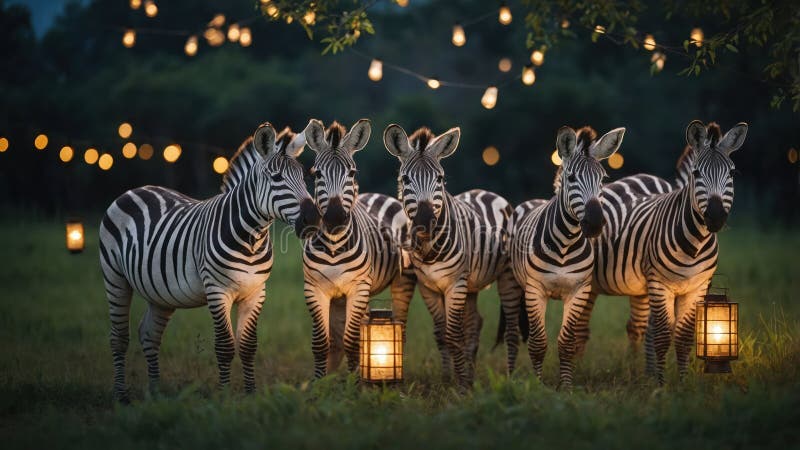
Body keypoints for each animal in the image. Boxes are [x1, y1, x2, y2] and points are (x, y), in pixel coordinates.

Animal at [99, 123, 321, 401]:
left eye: (304, 178)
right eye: (277, 178)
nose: (314, 219)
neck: (252, 238)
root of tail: (136, 189)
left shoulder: (256, 292)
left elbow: (248, 345)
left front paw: (251, 394)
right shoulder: (217, 291)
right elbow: (225, 346)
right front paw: (224, 397)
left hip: (160, 293)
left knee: (149, 335)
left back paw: (156, 393)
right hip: (114, 277)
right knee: (118, 337)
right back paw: (121, 395)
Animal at [301, 119, 416, 378]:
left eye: (351, 173)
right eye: (317, 174)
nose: (335, 218)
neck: (334, 245)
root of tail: (376, 195)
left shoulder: (358, 288)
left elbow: (352, 340)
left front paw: (354, 383)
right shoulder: (314, 289)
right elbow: (321, 342)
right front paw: (320, 382)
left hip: (401, 282)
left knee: (401, 327)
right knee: (335, 340)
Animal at [383, 124, 517, 388]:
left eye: (440, 179)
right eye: (405, 179)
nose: (425, 222)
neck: (429, 250)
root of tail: (485, 191)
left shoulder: (455, 283)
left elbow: (454, 334)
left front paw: (462, 386)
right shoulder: (429, 287)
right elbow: (442, 334)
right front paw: (450, 380)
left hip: (505, 276)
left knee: (511, 331)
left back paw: (510, 378)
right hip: (471, 284)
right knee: (475, 323)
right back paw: (471, 373)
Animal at [506, 125, 625, 389]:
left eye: (603, 179)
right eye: (571, 179)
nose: (595, 223)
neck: (565, 244)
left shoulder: (579, 290)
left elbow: (567, 342)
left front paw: (567, 386)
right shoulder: (535, 289)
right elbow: (538, 342)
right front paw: (538, 386)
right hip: (512, 284)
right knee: (512, 334)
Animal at [589, 120, 748, 384]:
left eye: (732, 174)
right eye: (697, 173)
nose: (715, 217)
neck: (694, 244)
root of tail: (641, 176)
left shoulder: (698, 287)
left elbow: (684, 336)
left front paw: (681, 384)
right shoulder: (659, 283)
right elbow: (664, 335)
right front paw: (661, 386)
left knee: (643, 328)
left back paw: (646, 372)